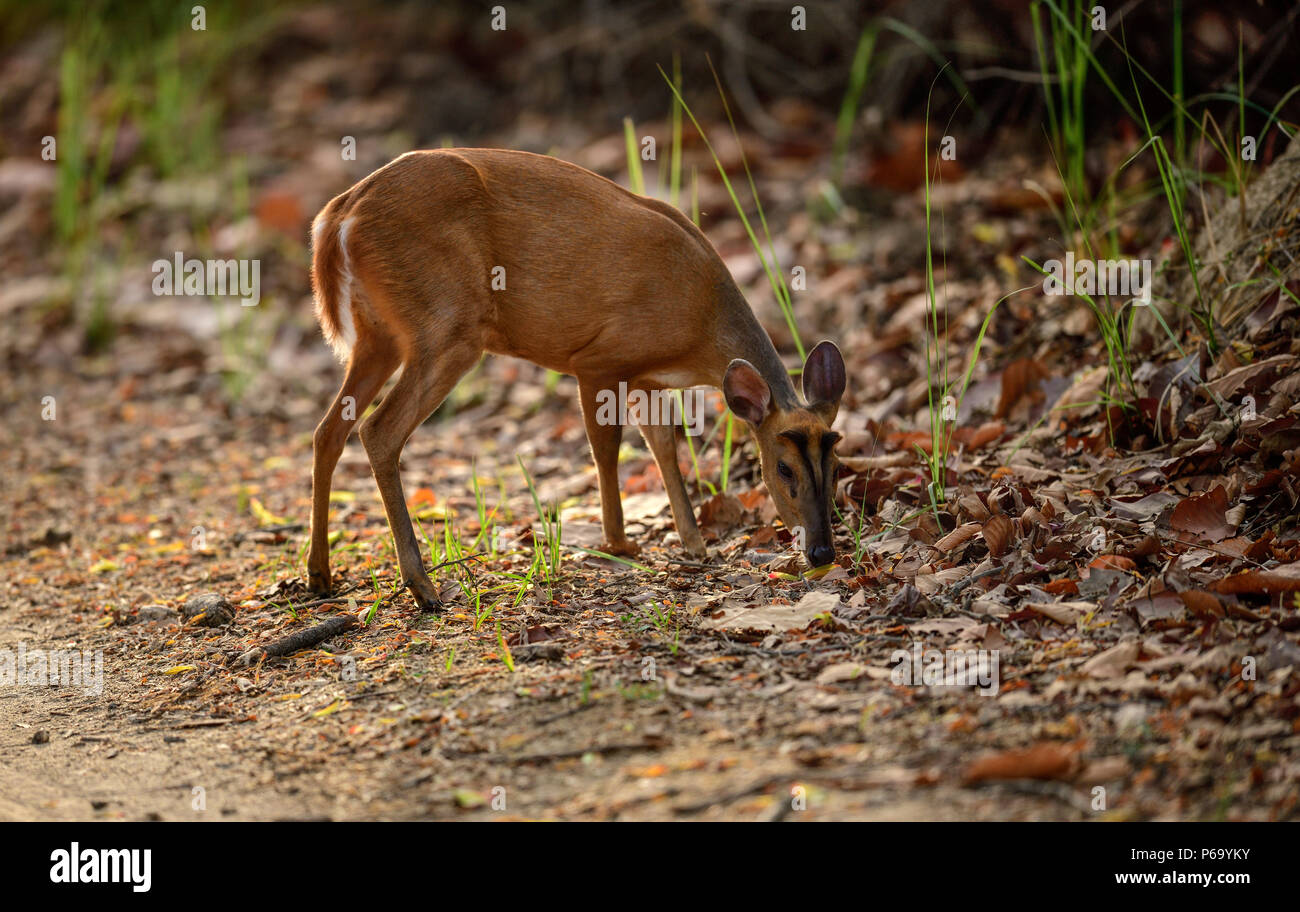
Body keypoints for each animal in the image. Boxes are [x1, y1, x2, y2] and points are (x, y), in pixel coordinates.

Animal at [307, 148, 846, 611]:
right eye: (783, 468)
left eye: (837, 463)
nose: (823, 553)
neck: (701, 329)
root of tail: (338, 216)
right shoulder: (599, 359)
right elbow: (605, 449)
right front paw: (619, 543)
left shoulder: (649, 379)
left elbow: (663, 446)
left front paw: (693, 544)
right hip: (447, 326)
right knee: (378, 430)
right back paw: (422, 586)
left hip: (379, 336)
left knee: (328, 430)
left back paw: (320, 575)